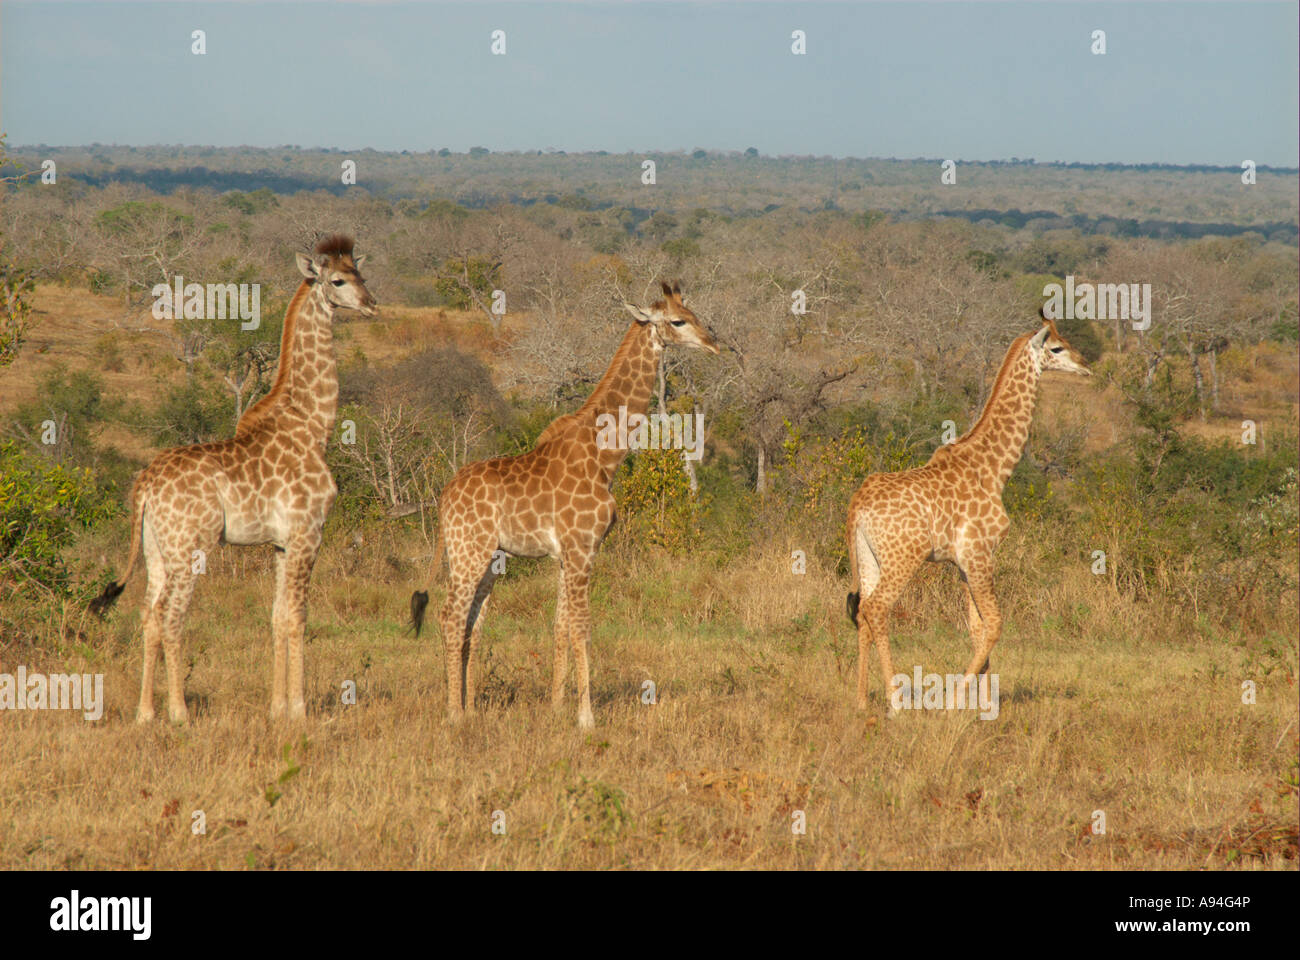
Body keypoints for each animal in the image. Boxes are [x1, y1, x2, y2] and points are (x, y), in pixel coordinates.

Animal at [89, 235, 377, 723]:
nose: (372, 304)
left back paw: (146, 713)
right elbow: (298, 617)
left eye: (361, 273)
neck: (313, 426)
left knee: (147, 613)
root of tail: (145, 485)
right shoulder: (308, 534)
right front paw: (299, 710)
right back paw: (179, 713)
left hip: (155, 548)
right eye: (338, 281)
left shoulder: (281, 543)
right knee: (169, 615)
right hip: (191, 546)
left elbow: (277, 616)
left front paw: (276, 708)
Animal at [410, 281, 719, 728]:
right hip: (470, 550)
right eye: (678, 321)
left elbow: (558, 626)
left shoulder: (565, 555)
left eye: (693, 314)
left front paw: (557, 708)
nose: (714, 343)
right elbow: (582, 627)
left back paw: (467, 705)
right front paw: (585, 718)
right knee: (451, 616)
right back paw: (454, 715)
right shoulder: (582, 548)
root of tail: (443, 498)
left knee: (472, 623)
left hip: (488, 557)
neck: (605, 454)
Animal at [844, 313, 1090, 712]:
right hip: (902, 558)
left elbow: (976, 627)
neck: (994, 469)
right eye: (1056, 347)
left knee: (864, 611)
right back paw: (895, 702)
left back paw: (862, 700)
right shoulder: (981, 554)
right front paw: (960, 699)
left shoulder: (963, 563)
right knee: (878, 609)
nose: (1086, 365)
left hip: (868, 557)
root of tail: (857, 505)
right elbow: (995, 623)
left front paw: (985, 703)